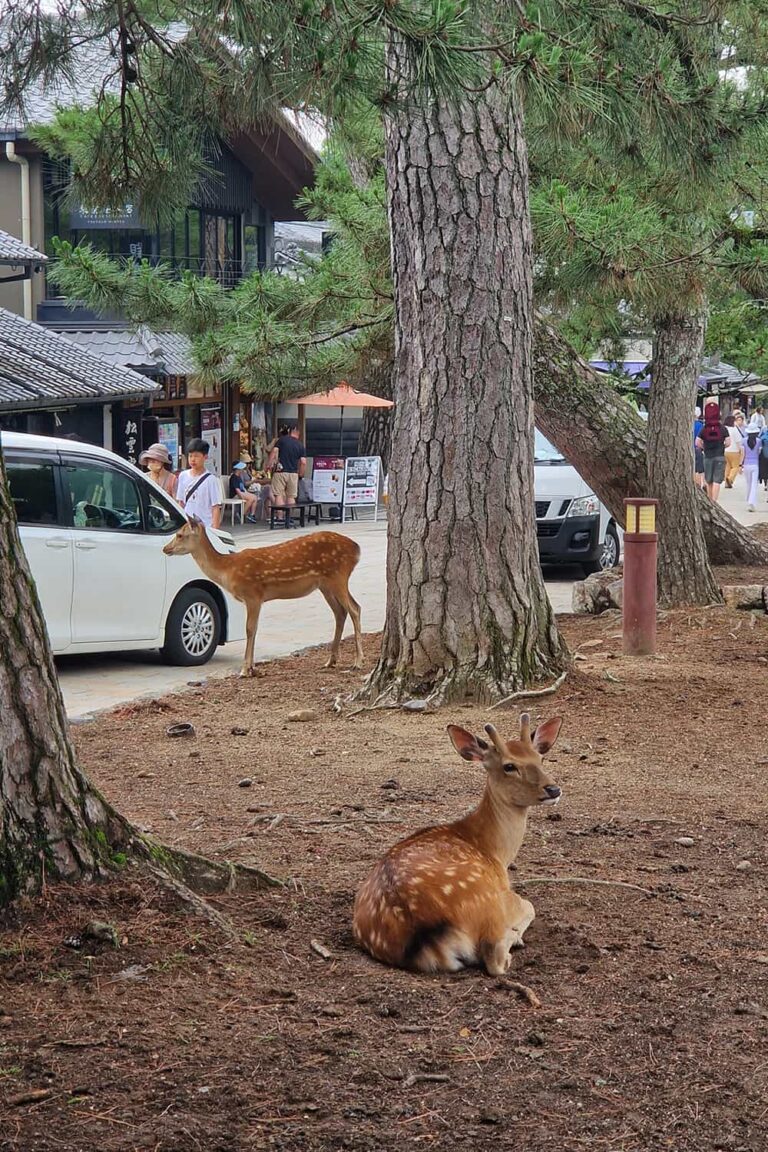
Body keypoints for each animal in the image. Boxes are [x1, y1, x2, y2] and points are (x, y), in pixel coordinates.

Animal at [163, 519, 364, 676]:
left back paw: (358, 662)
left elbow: (250, 629)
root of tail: (357, 549)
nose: (165, 548)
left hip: (338, 576)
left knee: (355, 608)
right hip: (325, 585)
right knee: (340, 612)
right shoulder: (256, 598)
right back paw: (331, 661)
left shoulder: (253, 594)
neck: (228, 569)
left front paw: (245, 669)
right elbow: (256, 628)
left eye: (180, 534)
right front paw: (252, 668)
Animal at [353, 712, 563, 975]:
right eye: (509, 766)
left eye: (540, 758)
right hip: (488, 903)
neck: (496, 852)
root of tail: (424, 937)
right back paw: (513, 938)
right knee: (495, 957)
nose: (553, 789)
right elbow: (530, 905)